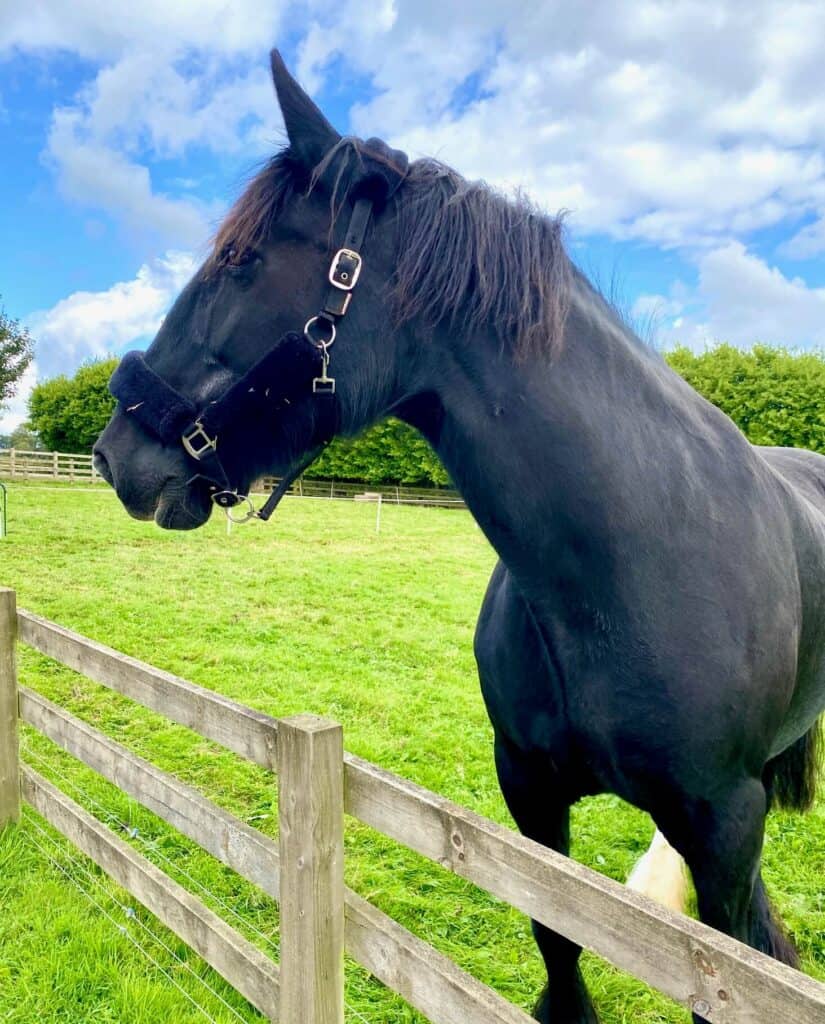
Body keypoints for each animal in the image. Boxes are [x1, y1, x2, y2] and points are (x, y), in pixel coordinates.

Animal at [94, 51, 824, 1024]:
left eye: (240, 260)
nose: (114, 452)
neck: (632, 566)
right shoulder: (529, 793)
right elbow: (560, 939)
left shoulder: (724, 825)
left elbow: (725, 978)